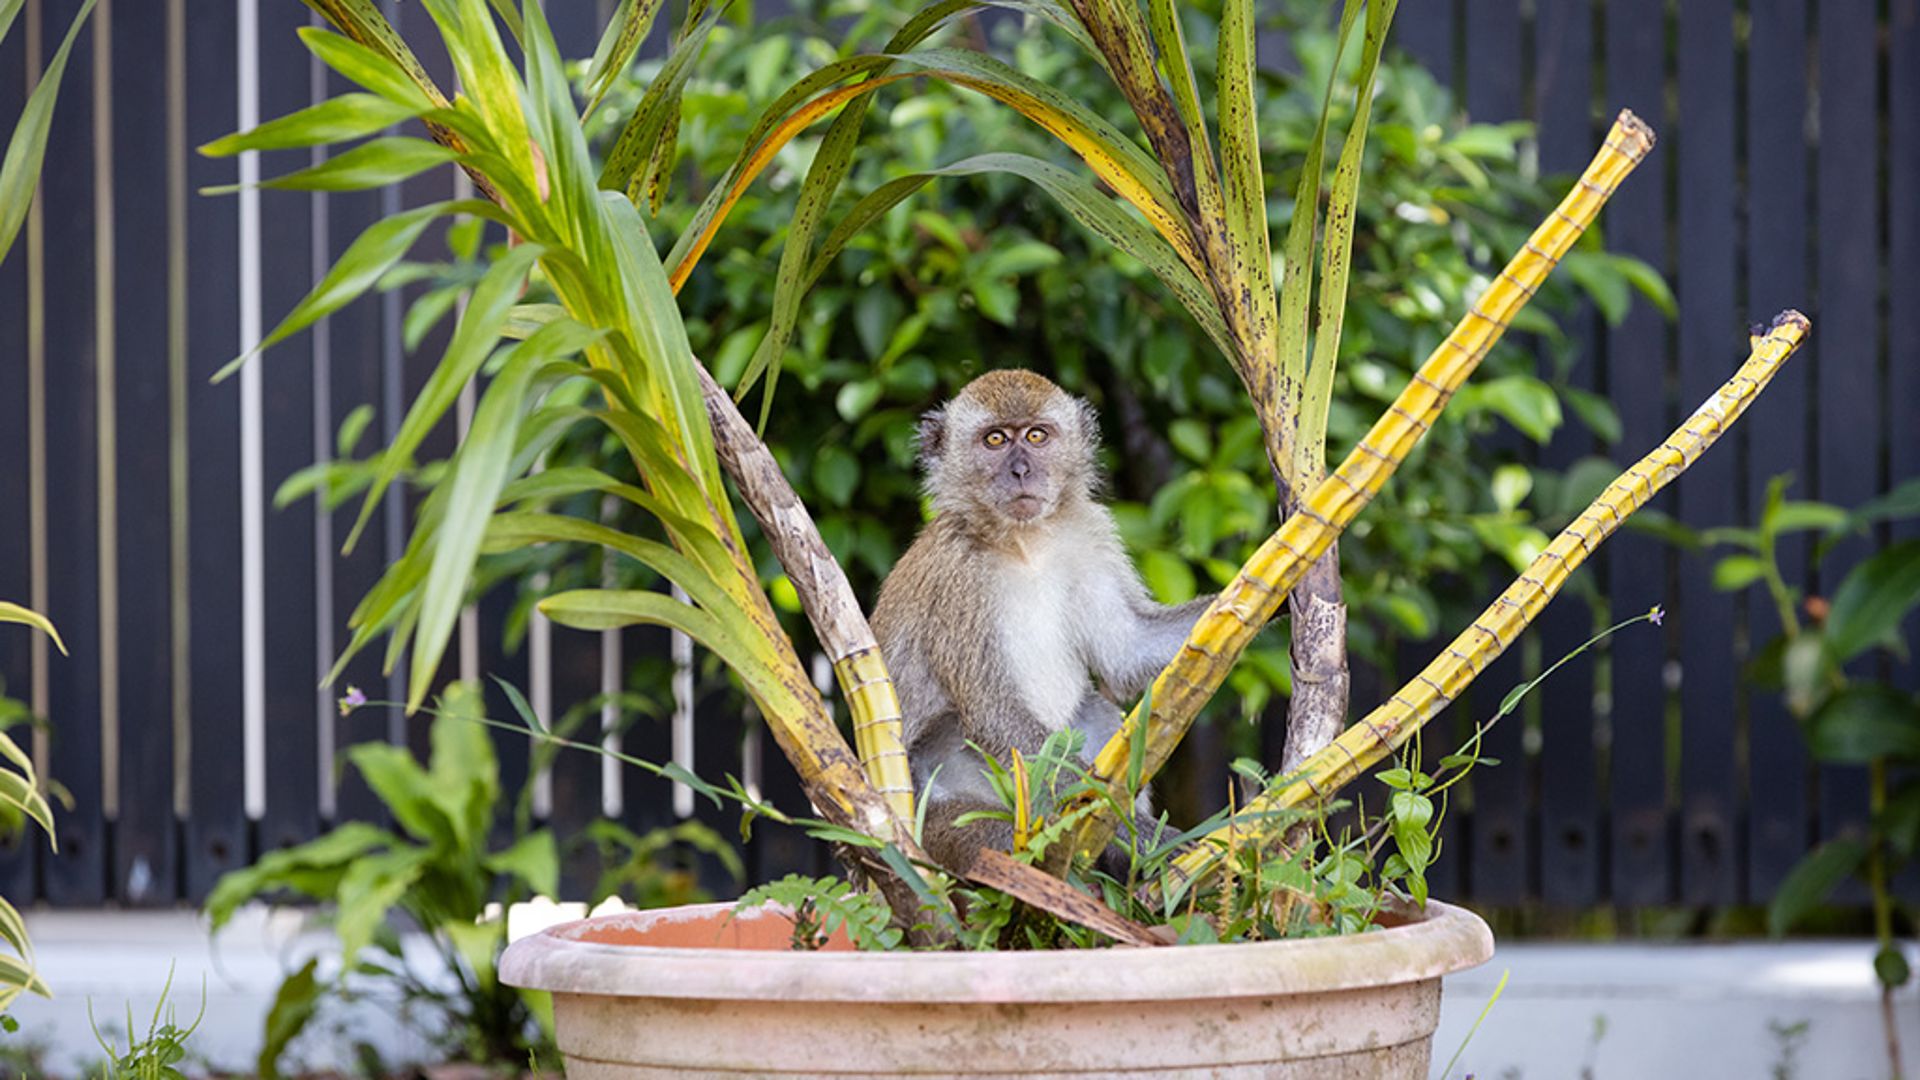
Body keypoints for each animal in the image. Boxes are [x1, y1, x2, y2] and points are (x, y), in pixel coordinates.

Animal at [871, 369, 1215, 875]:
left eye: (1036, 436)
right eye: (995, 439)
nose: (1020, 471)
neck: (1023, 542)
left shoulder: (1089, 535)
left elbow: (1126, 648)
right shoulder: (956, 580)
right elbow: (997, 714)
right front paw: (1147, 834)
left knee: (1096, 711)